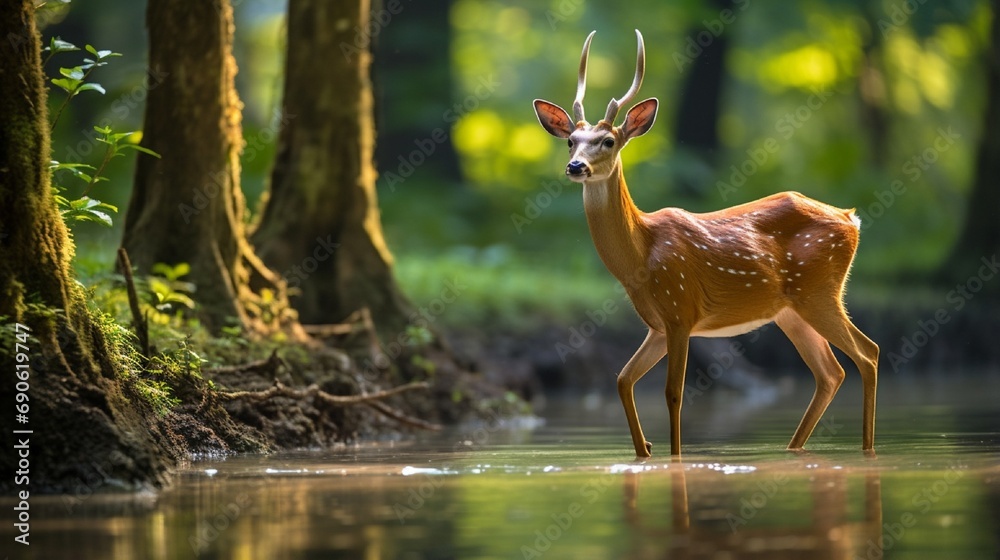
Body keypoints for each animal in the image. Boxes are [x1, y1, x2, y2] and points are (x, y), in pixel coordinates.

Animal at [532, 30, 880, 458]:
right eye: (570, 140)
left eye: (609, 141)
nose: (576, 166)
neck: (640, 255)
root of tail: (851, 218)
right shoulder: (658, 325)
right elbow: (622, 380)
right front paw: (644, 450)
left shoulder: (680, 310)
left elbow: (673, 393)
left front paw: (674, 456)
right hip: (792, 310)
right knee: (831, 372)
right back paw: (794, 449)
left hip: (819, 291)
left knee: (867, 354)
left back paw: (866, 450)